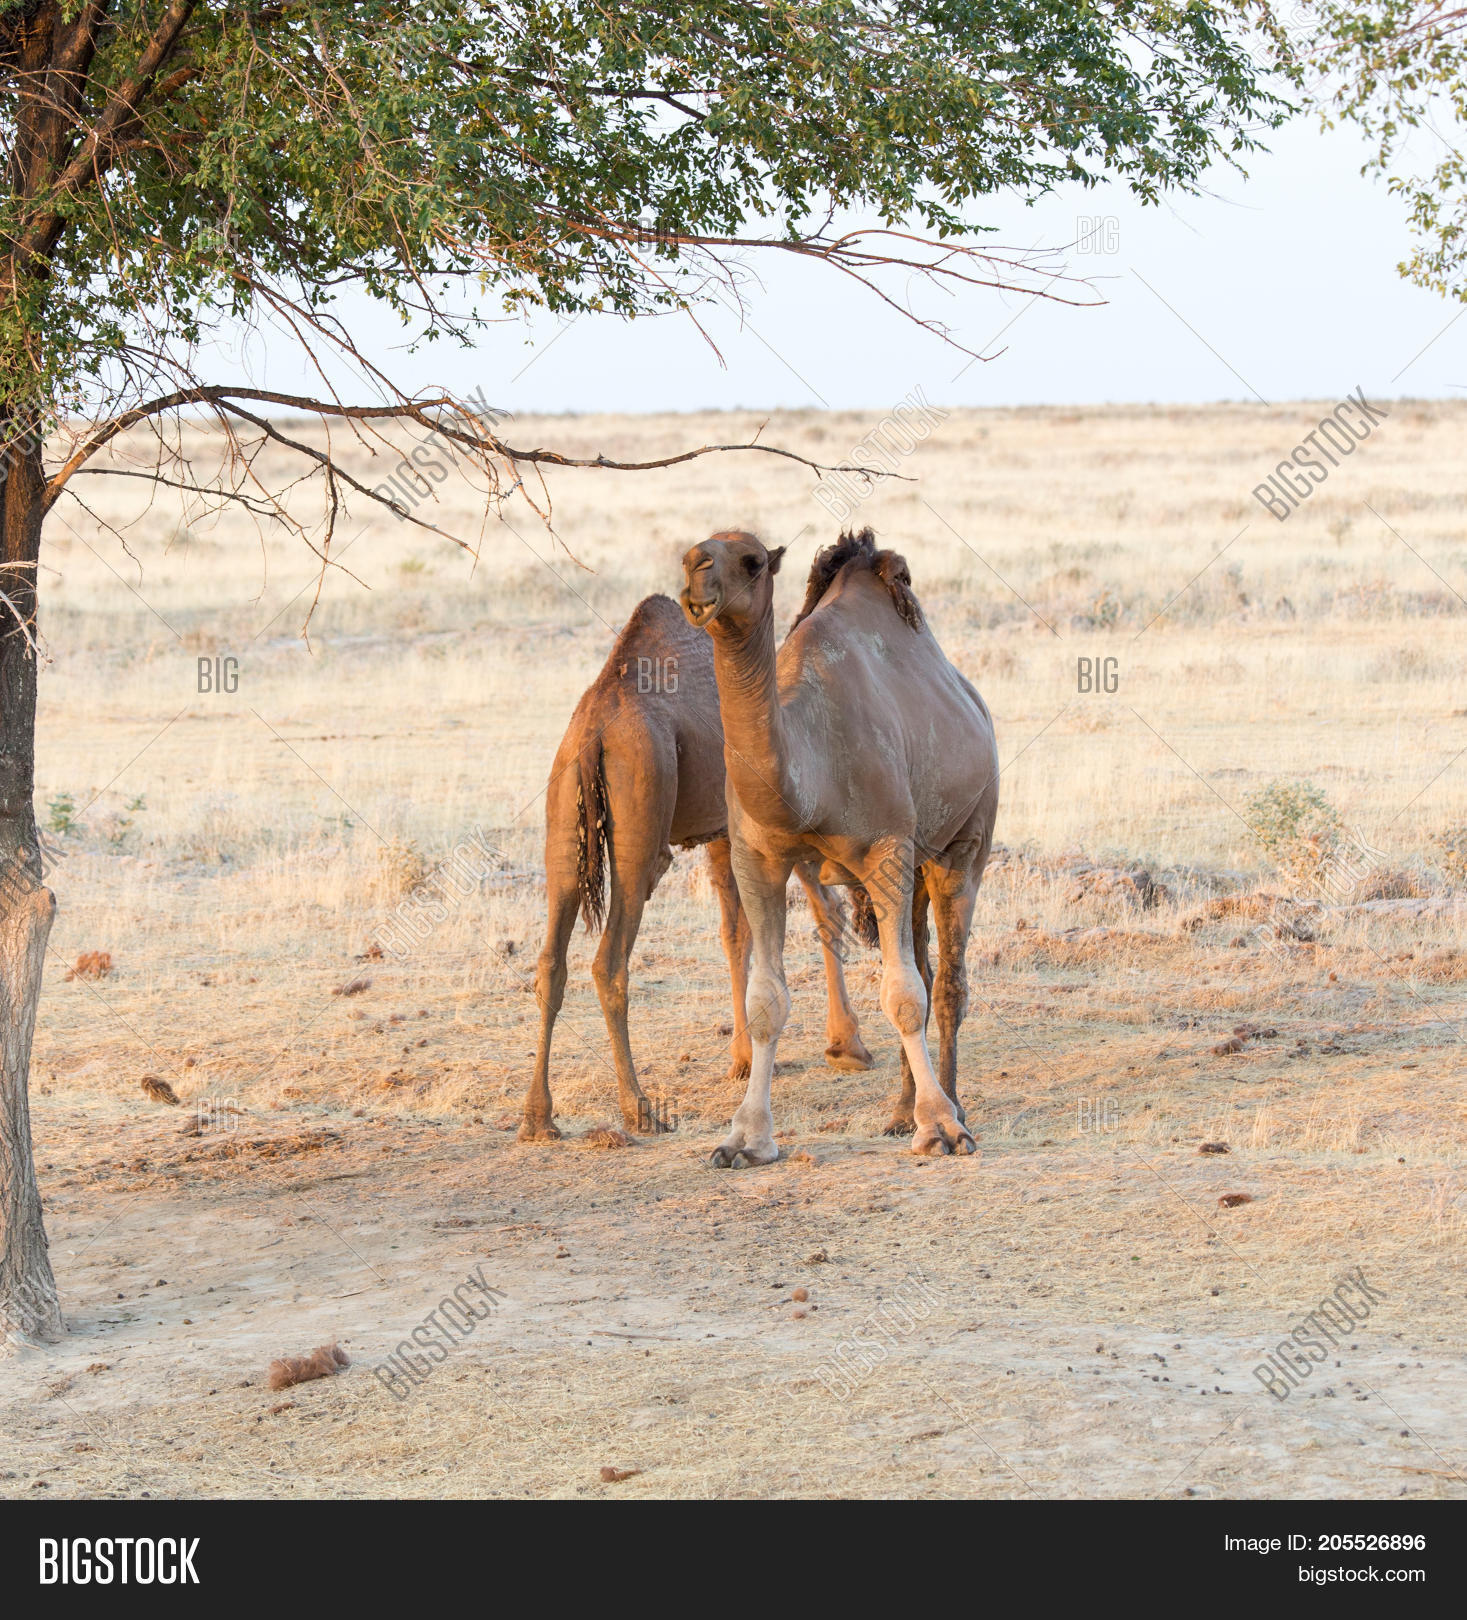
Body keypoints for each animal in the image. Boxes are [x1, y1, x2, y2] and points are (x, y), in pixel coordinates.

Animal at [519, 593, 872, 1142]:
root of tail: (595, 727)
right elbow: (820, 912)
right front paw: (847, 1046)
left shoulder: (726, 831)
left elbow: (736, 933)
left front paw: (744, 1059)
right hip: (643, 818)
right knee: (609, 961)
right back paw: (640, 1109)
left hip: (563, 815)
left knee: (551, 961)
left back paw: (538, 1118)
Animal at [680, 528, 998, 1162]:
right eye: (693, 552)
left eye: (752, 561)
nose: (695, 568)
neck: (811, 762)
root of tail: (975, 704)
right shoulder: (757, 859)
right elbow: (766, 1002)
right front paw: (745, 1139)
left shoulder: (887, 848)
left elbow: (904, 996)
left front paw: (941, 1128)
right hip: (916, 866)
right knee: (925, 964)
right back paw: (901, 1110)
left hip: (966, 842)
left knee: (948, 981)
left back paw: (952, 1105)